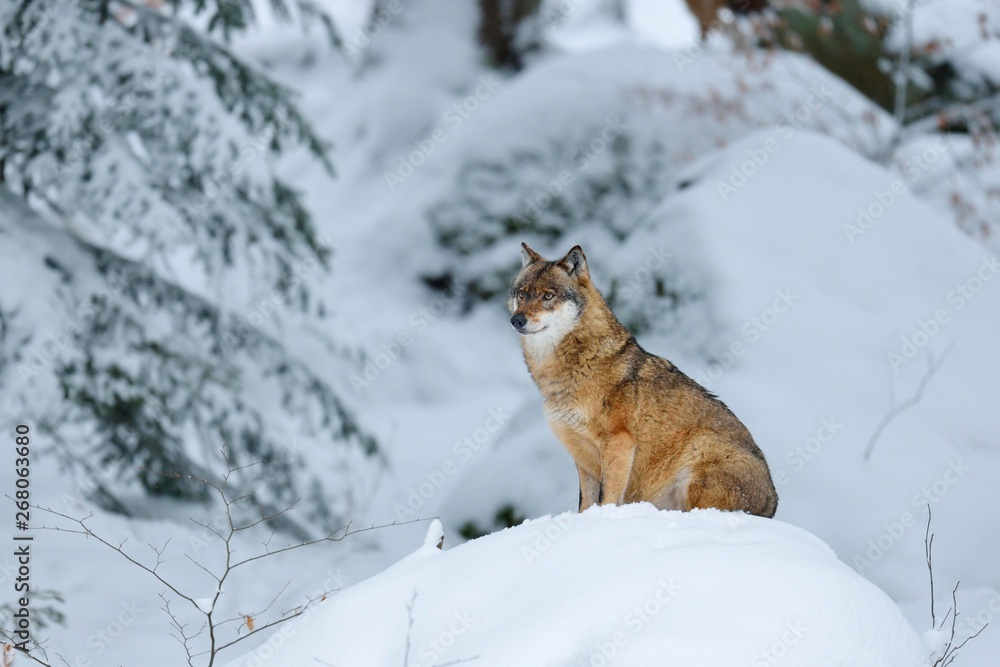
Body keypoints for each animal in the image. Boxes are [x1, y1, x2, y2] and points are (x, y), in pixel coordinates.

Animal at [508, 243, 778, 517]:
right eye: (522, 294)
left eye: (548, 296)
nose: (517, 320)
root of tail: (773, 504)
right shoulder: (582, 457)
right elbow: (585, 504)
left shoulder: (619, 444)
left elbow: (606, 498)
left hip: (698, 462)